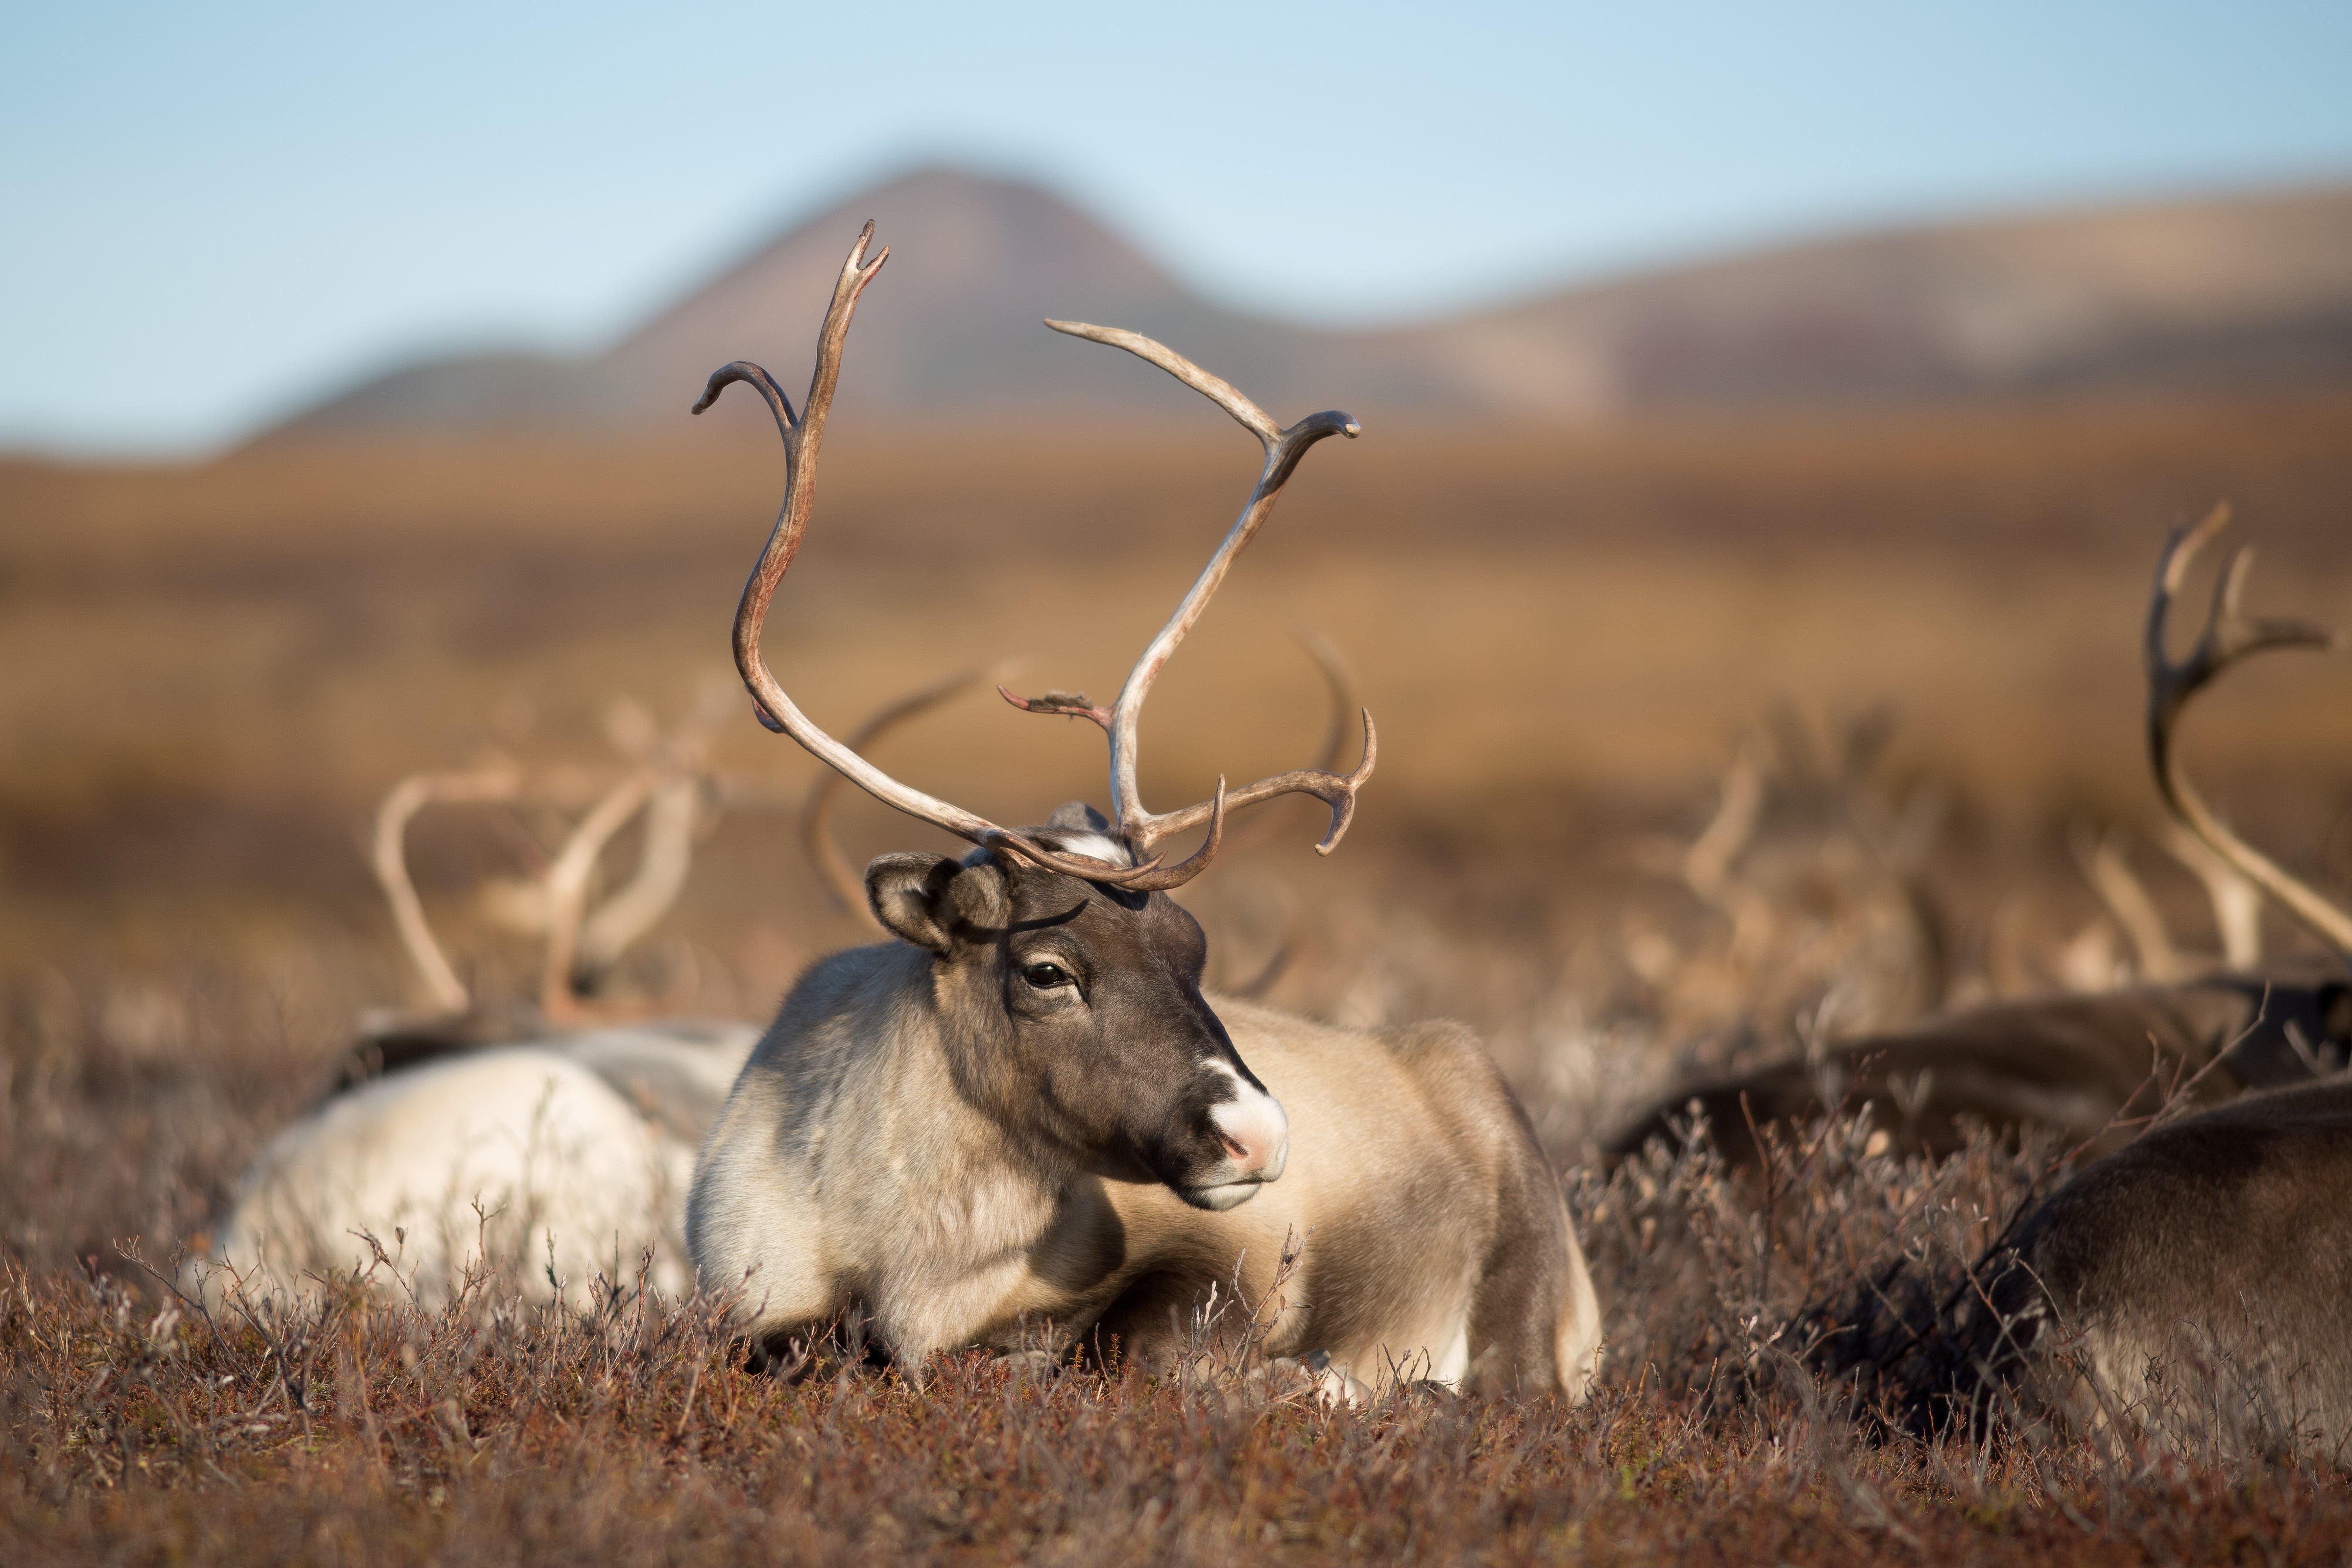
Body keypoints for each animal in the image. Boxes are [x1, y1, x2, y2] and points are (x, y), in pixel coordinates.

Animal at [684, 223, 1601, 1399]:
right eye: (1047, 970)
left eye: (1195, 946)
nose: (1258, 1134)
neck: (908, 1258)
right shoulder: (744, 1301)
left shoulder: (1218, 1258)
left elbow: (1123, 1351)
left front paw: (1315, 1381)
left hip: (1522, 1254)